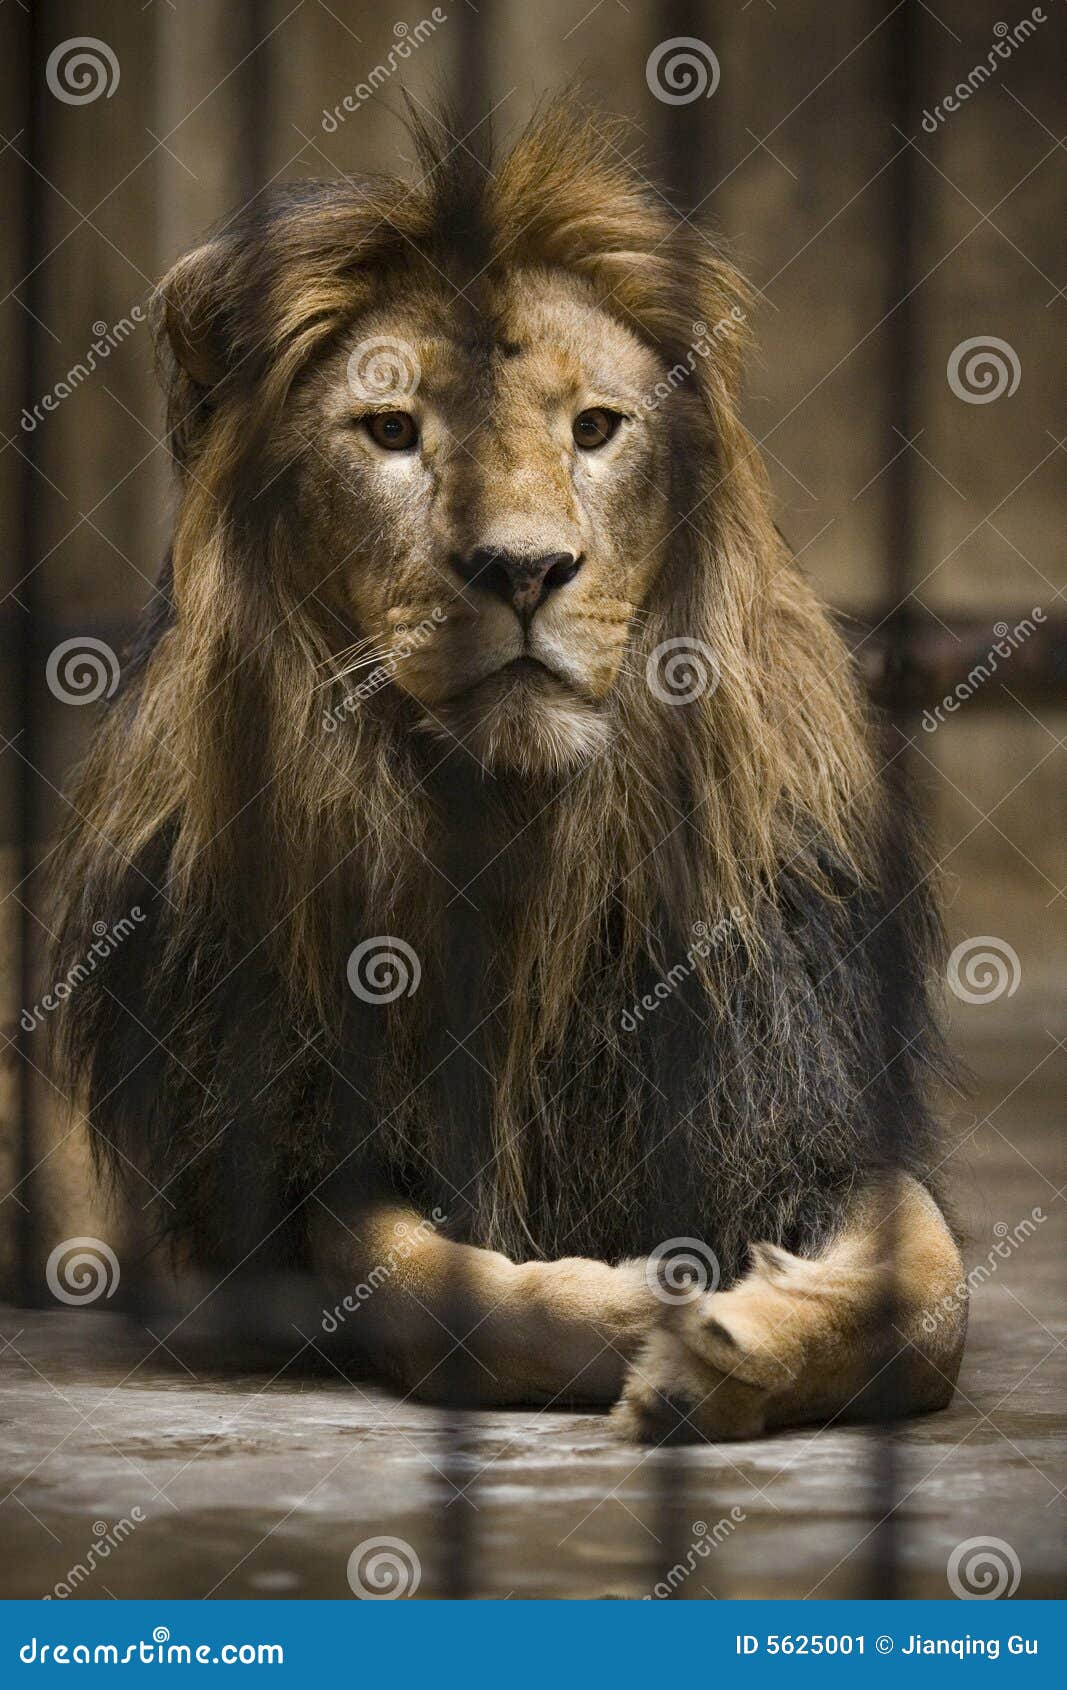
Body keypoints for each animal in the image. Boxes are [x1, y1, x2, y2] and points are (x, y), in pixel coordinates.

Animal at [50, 100, 966, 1441]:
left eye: (593, 429)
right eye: (391, 433)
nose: (523, 568)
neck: (517, 837)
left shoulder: (789, 1105)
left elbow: (932, 1293)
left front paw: (728, 1340)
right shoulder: (293, 1164)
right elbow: (427, 1286)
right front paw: (640, 1312)